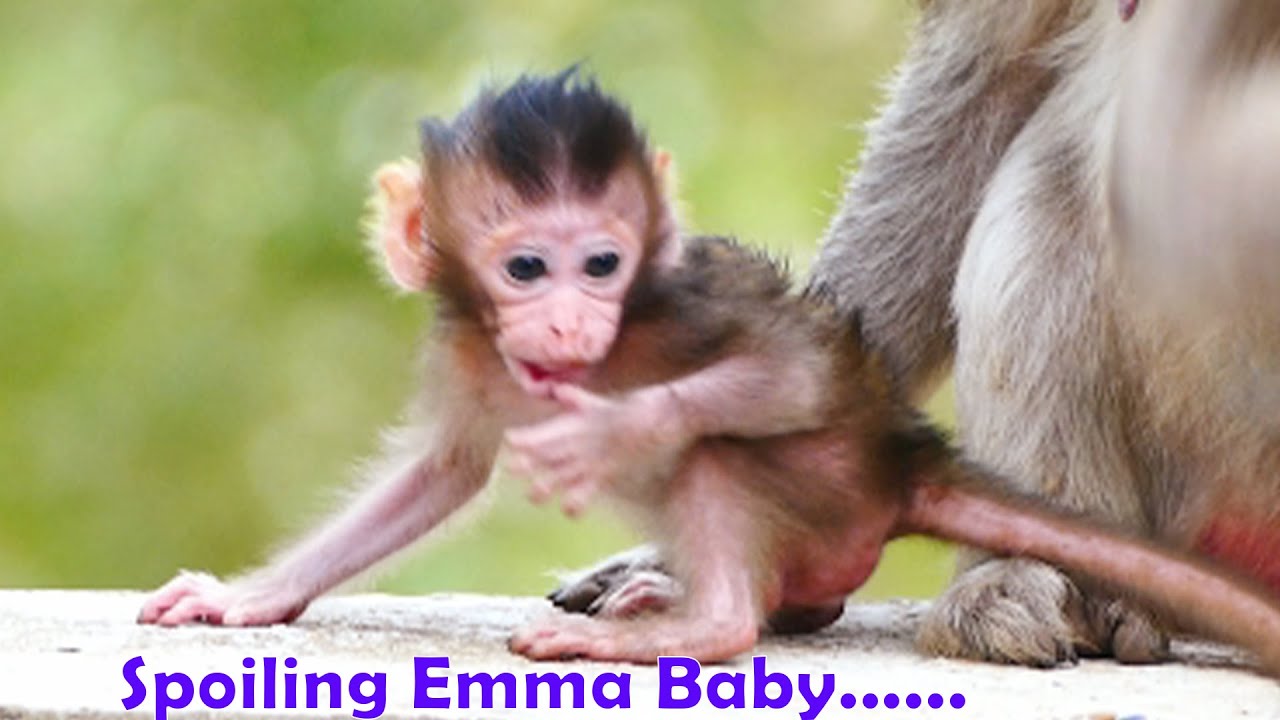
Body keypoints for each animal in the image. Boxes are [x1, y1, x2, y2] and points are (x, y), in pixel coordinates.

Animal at [137, 70, 1280, 671]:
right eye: (525, 267)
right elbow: (439, 476)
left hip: (820, 483)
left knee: (718, 455)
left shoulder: (686, 310)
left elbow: (786, 376)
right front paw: (248, 598)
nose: (571, 321)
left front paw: (609, 430)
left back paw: (702, 619)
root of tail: (900, 465)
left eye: (602, 263)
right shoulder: (465, 352)